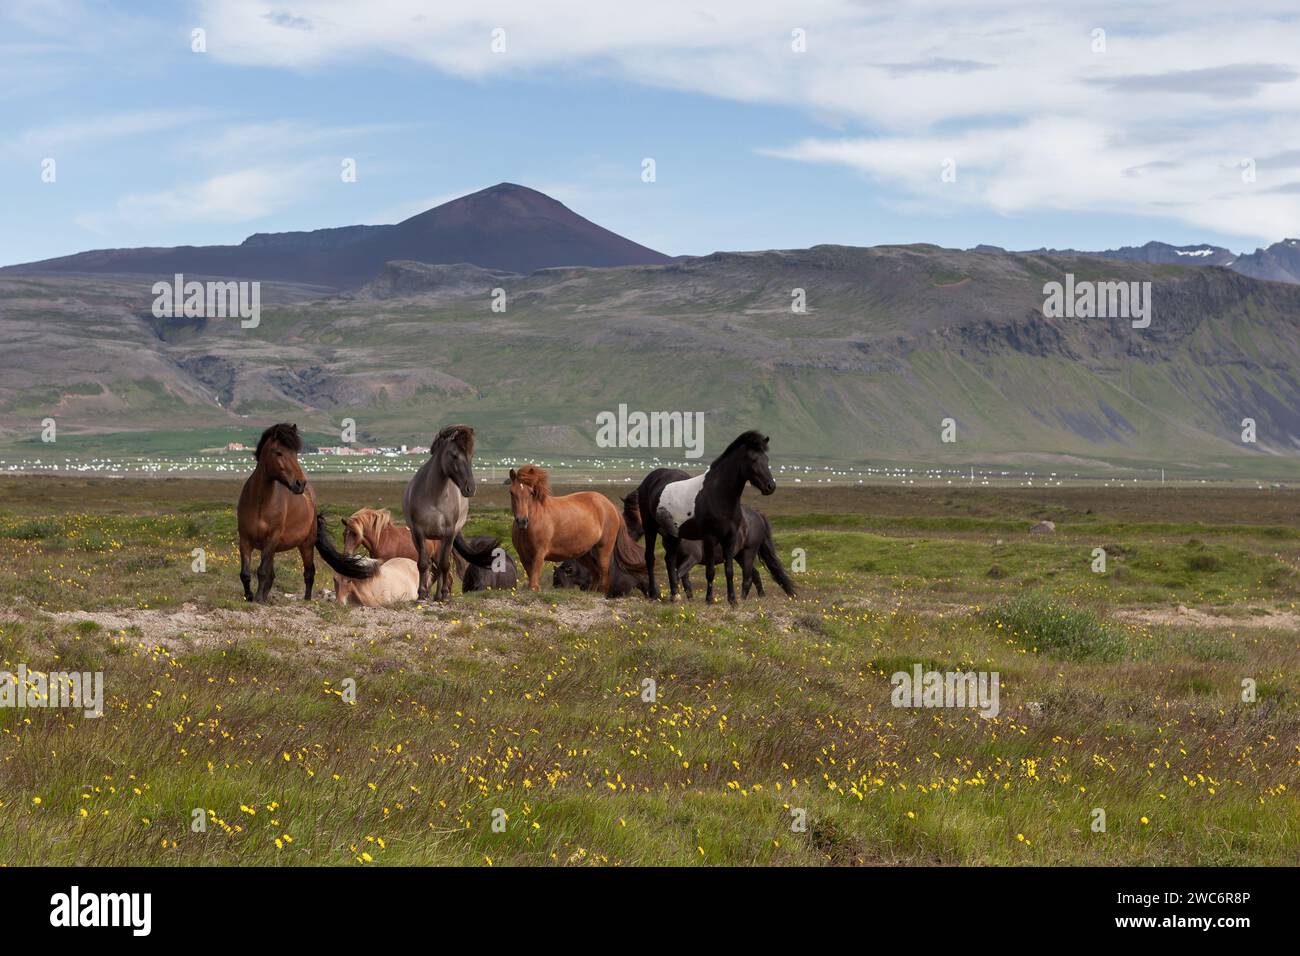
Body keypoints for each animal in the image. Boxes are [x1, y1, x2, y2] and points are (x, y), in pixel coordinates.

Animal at [237, 423, 317, 603]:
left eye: (295, 453)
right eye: (279, 452)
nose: (300, 483)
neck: (260, 503)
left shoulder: (271, 539)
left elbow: (262, 571)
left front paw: (258, 598)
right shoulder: (245, 540)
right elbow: (245, 573)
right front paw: (249, 596)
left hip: (306, 544)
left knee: (309, 572)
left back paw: (307, 599)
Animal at [402, 425, 483, 601]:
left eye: (471, 455)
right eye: (454, 455)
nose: (471, 488)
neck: (435, 496)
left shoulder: (449, 533)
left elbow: (445, 564)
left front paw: (445, 594)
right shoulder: (418, 532)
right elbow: (423, 563)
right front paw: (422, 593)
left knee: (440, 565)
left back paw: (439, 594)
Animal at [508, 464, 644, 595]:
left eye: (531, 493)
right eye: (511, 492)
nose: (522, 521)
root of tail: (611, 506)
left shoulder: (539, 553)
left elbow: (535, 575)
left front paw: (534, 589)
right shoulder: (523, 556)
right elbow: (531, 574)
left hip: (604, 549)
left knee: (604, 572)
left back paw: (601, 592)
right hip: (584, 554)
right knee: (596, 573)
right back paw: (591, 592)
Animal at [622, 490, 794, 599]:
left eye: (631, 515)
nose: (627, 535)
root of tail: (757, 513)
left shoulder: (693, 558)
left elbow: (678, 575)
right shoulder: (679, 559)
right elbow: (685, 581)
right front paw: (688, 599)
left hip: (748, 553)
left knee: (748, 577)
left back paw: (741, 599)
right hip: (738, 555)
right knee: (756, 575)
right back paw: (760, 597)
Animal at [637, 431, 776, 605]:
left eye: (767, 459)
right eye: (754, 459)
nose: (770, 486)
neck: (718, 495)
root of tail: (650, 479)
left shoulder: (730, 538)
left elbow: (729, 570)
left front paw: (733, 600)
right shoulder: (710, 538)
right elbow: (710, 571)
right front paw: (709, 600)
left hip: (673, 534)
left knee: (670, 561)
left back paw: (674, 595)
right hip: (650, 527)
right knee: (650, 558)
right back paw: (654, 594)